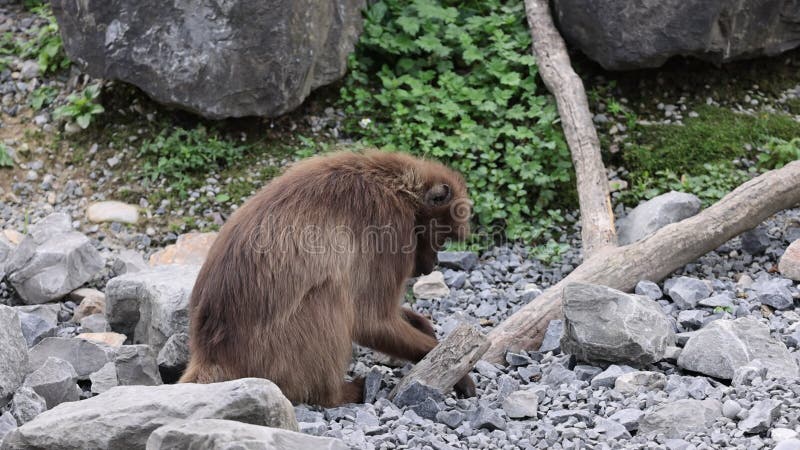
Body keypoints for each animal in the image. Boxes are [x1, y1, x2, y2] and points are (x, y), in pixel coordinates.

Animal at [179, 149, 475, 406]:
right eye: (442, 237)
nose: (430, 265)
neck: (397, 187)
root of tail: (212, 354)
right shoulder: (389, 229)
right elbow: (371, 320)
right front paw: (457, 371)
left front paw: (426, 329)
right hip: (273, 355)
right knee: (330, 294)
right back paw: (340, 394)